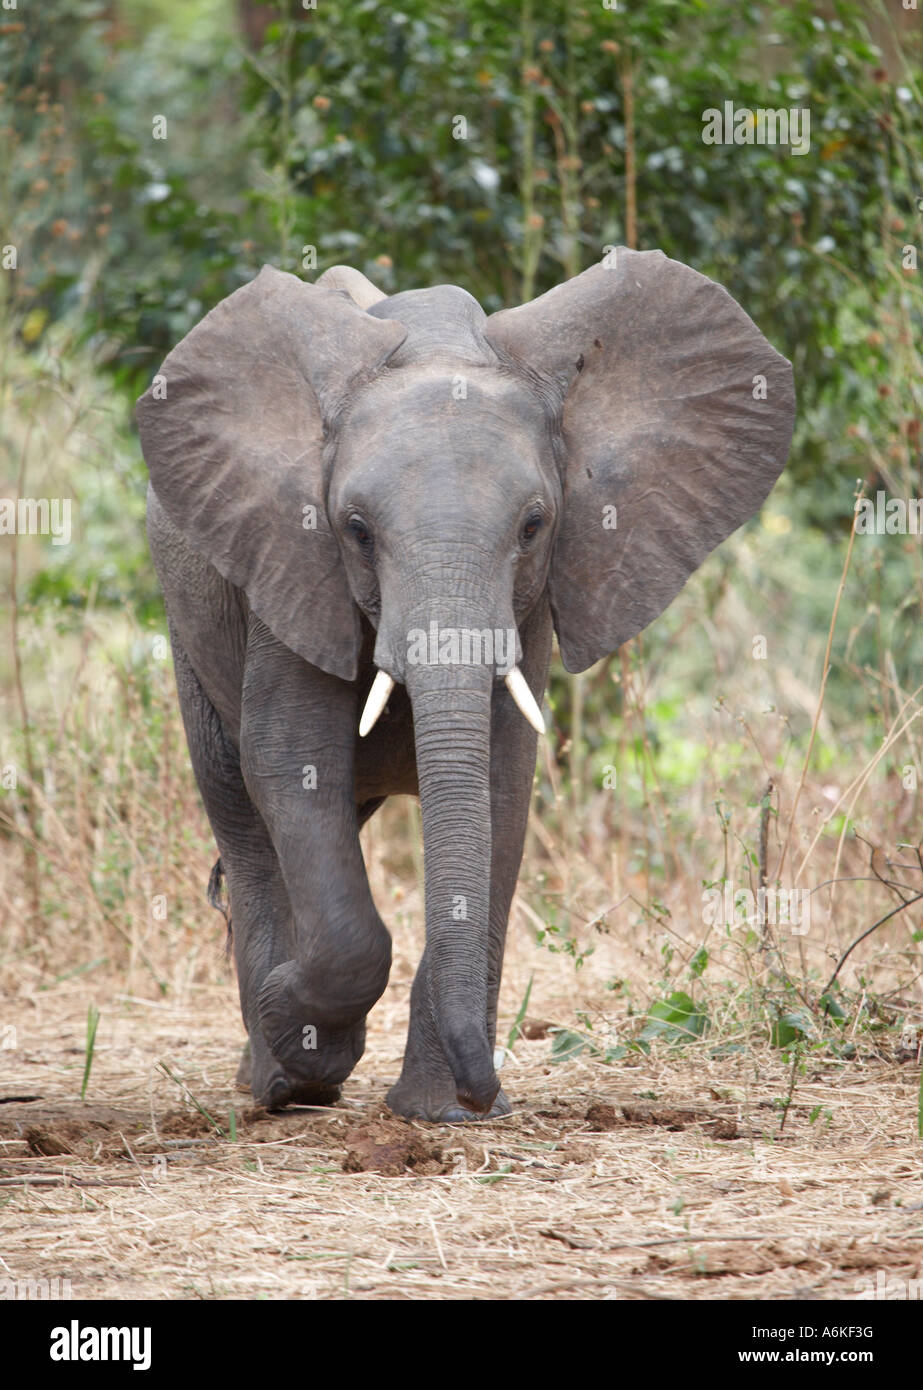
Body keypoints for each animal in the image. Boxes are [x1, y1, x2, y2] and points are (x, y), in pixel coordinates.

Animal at [137, 249, 794, 1122]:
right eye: (354, 530)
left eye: (533, 526)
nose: (486, 1091)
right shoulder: (289, 560)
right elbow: (288, 761)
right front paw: (300, 1039)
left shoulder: (534, 602)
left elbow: (502, 784)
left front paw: (438, 1112)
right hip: (190, 617)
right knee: (239, 810)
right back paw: (276, 1084)